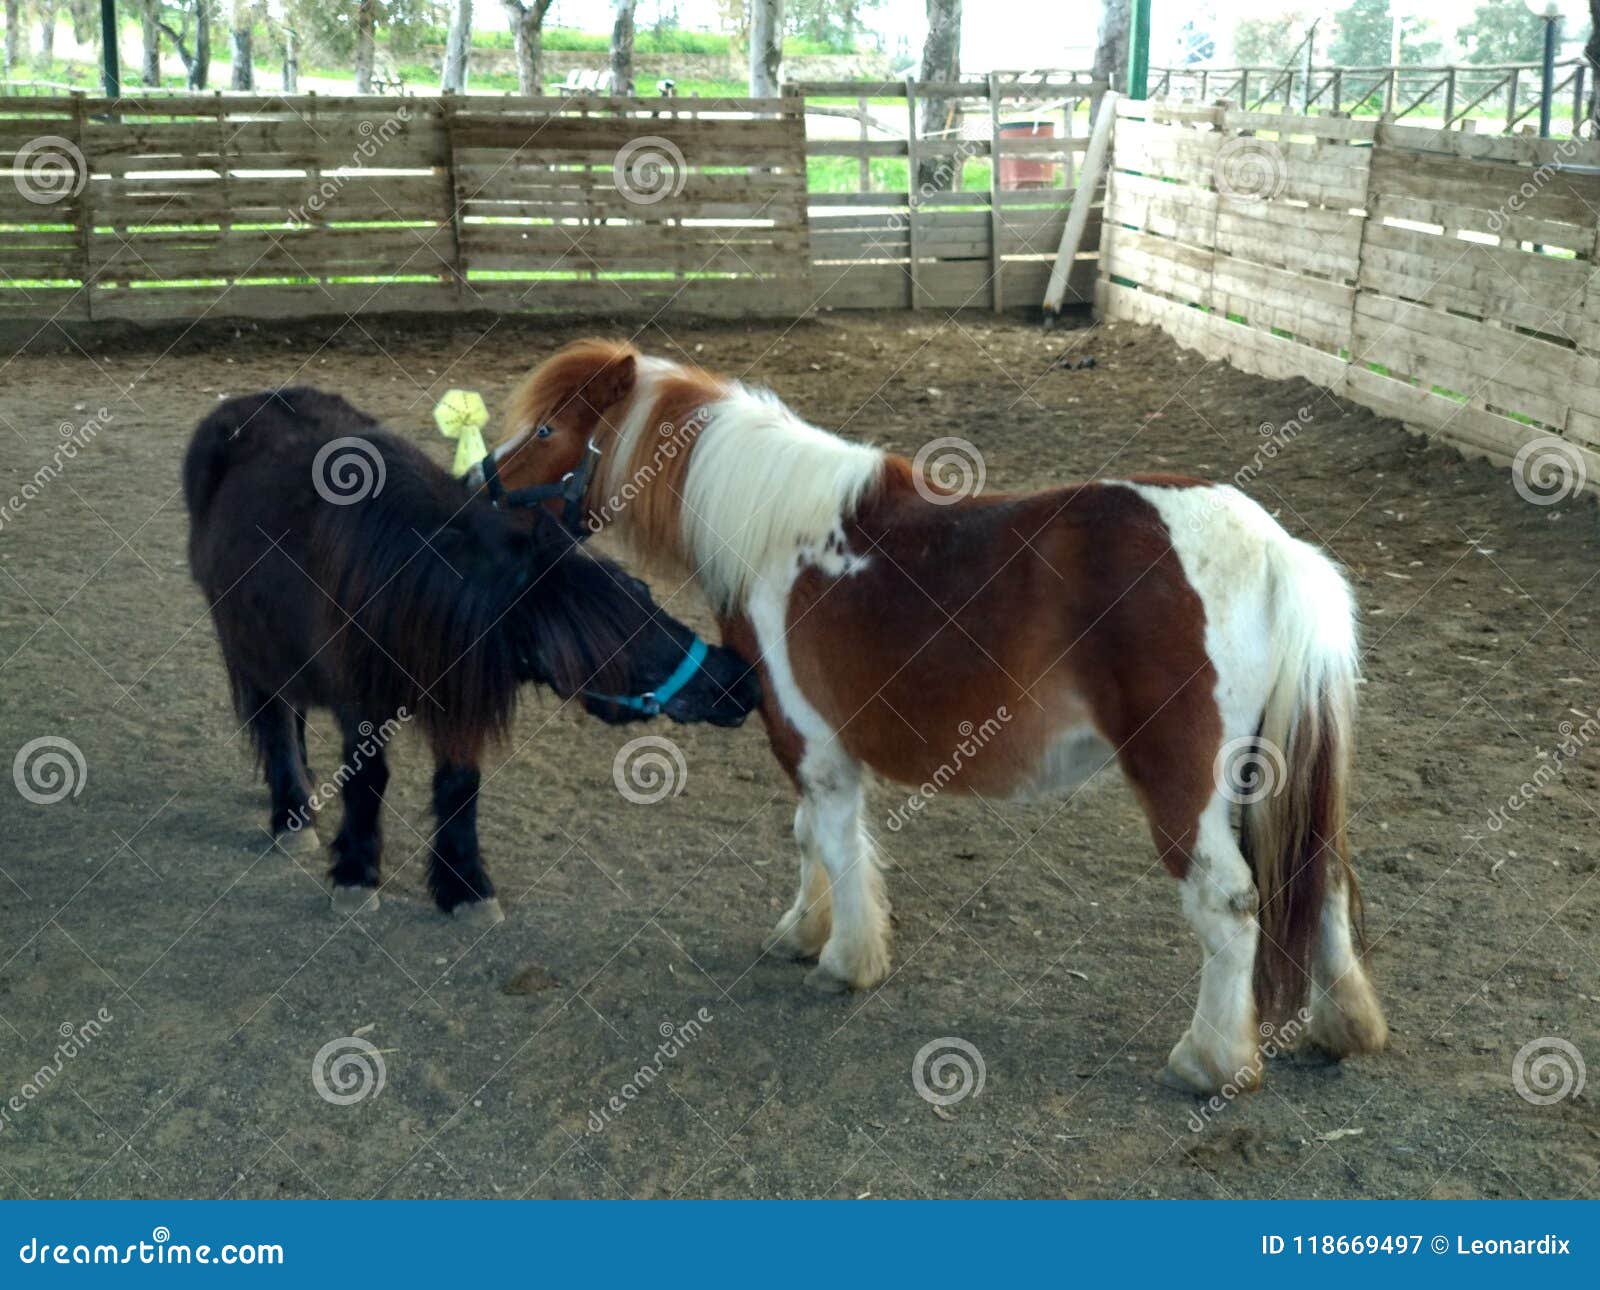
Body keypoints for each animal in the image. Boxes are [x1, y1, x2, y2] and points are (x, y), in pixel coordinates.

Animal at [183, 386, 759, 925]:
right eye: (608, 641)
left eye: (644, 593)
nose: (738, 681)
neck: (401, 575)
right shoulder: (360, 699)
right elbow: (368, 779)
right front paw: (356, 874)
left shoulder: (457, 690)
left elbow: (459, 783)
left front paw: (464, 884)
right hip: (245, 637)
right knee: (277, 716)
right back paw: (292, 813)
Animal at [470, 338, 1390, 1095]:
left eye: (548, 429)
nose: (479, 497)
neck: (776, 534)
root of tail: (1272, 549)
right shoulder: (812, 746)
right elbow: (809, 839)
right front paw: (803, 930)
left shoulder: (811, 745)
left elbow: (835, 844)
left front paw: (846, 959)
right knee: (1324, 881)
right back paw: (1342, 1027)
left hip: (1184, 785)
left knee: (1229, 903)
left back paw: (1210, 1062)